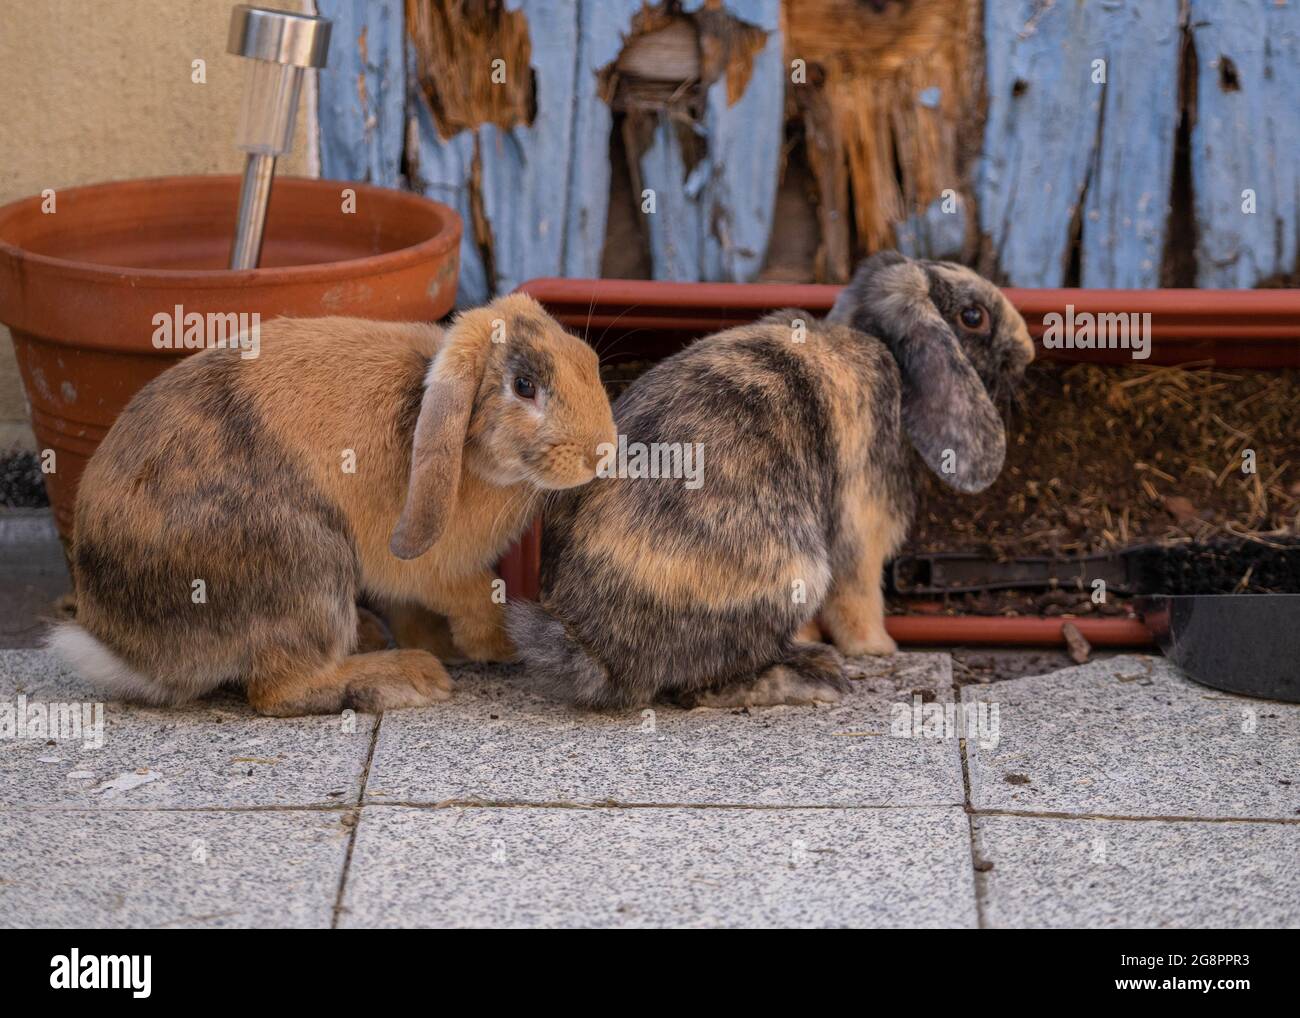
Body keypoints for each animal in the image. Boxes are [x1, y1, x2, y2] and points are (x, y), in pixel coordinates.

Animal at [49, 293, 616, 716]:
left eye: (586, 358)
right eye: (524, 386)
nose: (603, 450)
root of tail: (131, 652)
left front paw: (445, 642)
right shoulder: (436, 567)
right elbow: (475, 596)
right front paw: (495, 643)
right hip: (309, 564)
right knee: (278, 690)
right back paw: (408, 676)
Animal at [508, 252, 1034, 709]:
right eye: (972, 316)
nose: (1028, 351)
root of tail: (592, 648)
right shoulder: (861, 525)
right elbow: (858, 594)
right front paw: (878, 648)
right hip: (798, 570)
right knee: (699, 686)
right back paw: (814, 678)